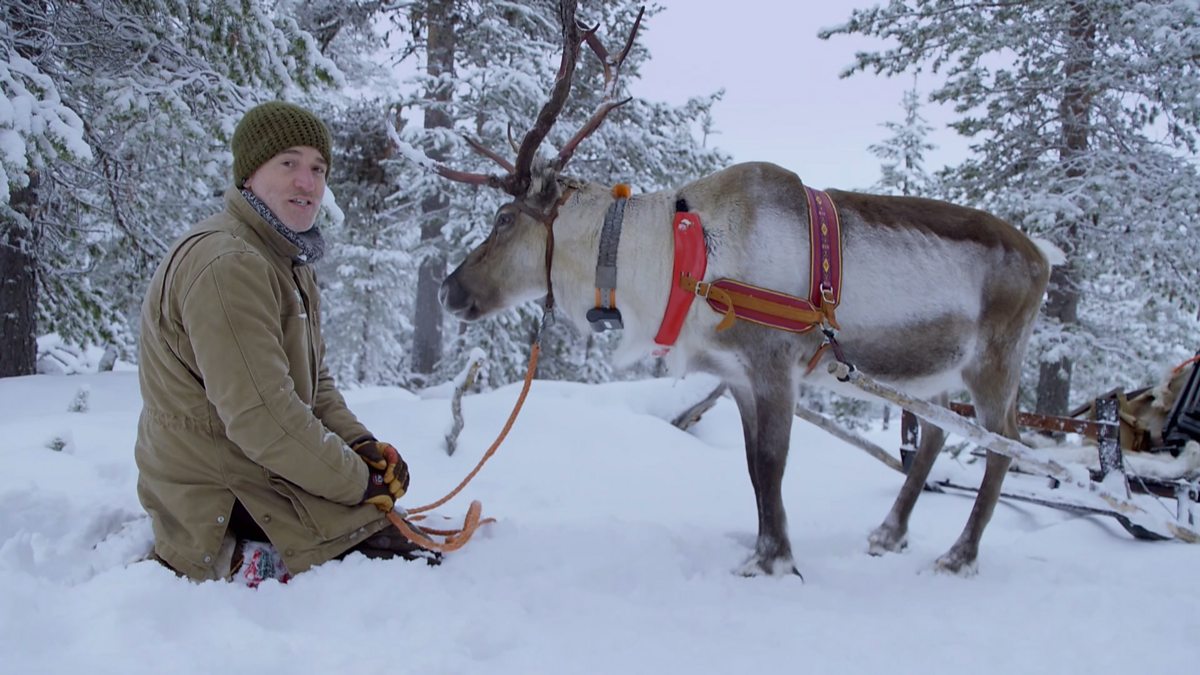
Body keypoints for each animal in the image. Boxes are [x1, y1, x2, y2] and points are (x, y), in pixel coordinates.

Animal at [405, 0, 1051, 577]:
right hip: (934, 374)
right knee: (939, 432)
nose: (447, 290)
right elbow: (752, 470)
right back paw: (889, 534)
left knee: (1005, 443)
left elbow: (772, 463)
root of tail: (1045, 257)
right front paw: (766, 547)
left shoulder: (774, 366)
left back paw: (959, 556)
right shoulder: (735, 376)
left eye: (502, 220)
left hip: (995, 361)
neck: (680, 259)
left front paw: (774, 562)